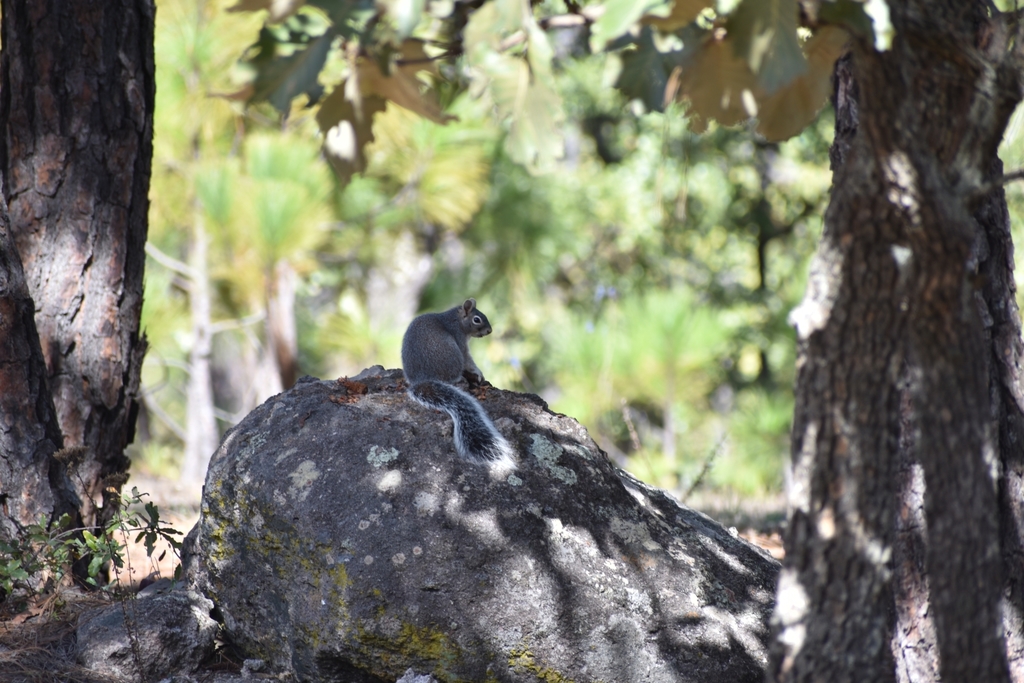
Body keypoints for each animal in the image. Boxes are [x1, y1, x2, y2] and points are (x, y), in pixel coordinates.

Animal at [401, 298, 515, 470]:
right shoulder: (460, 341)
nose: (489, 330)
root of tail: (421, 379)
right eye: (477, 319)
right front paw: (478, 373)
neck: (456, 320)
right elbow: (468, 359)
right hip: (452, 355)